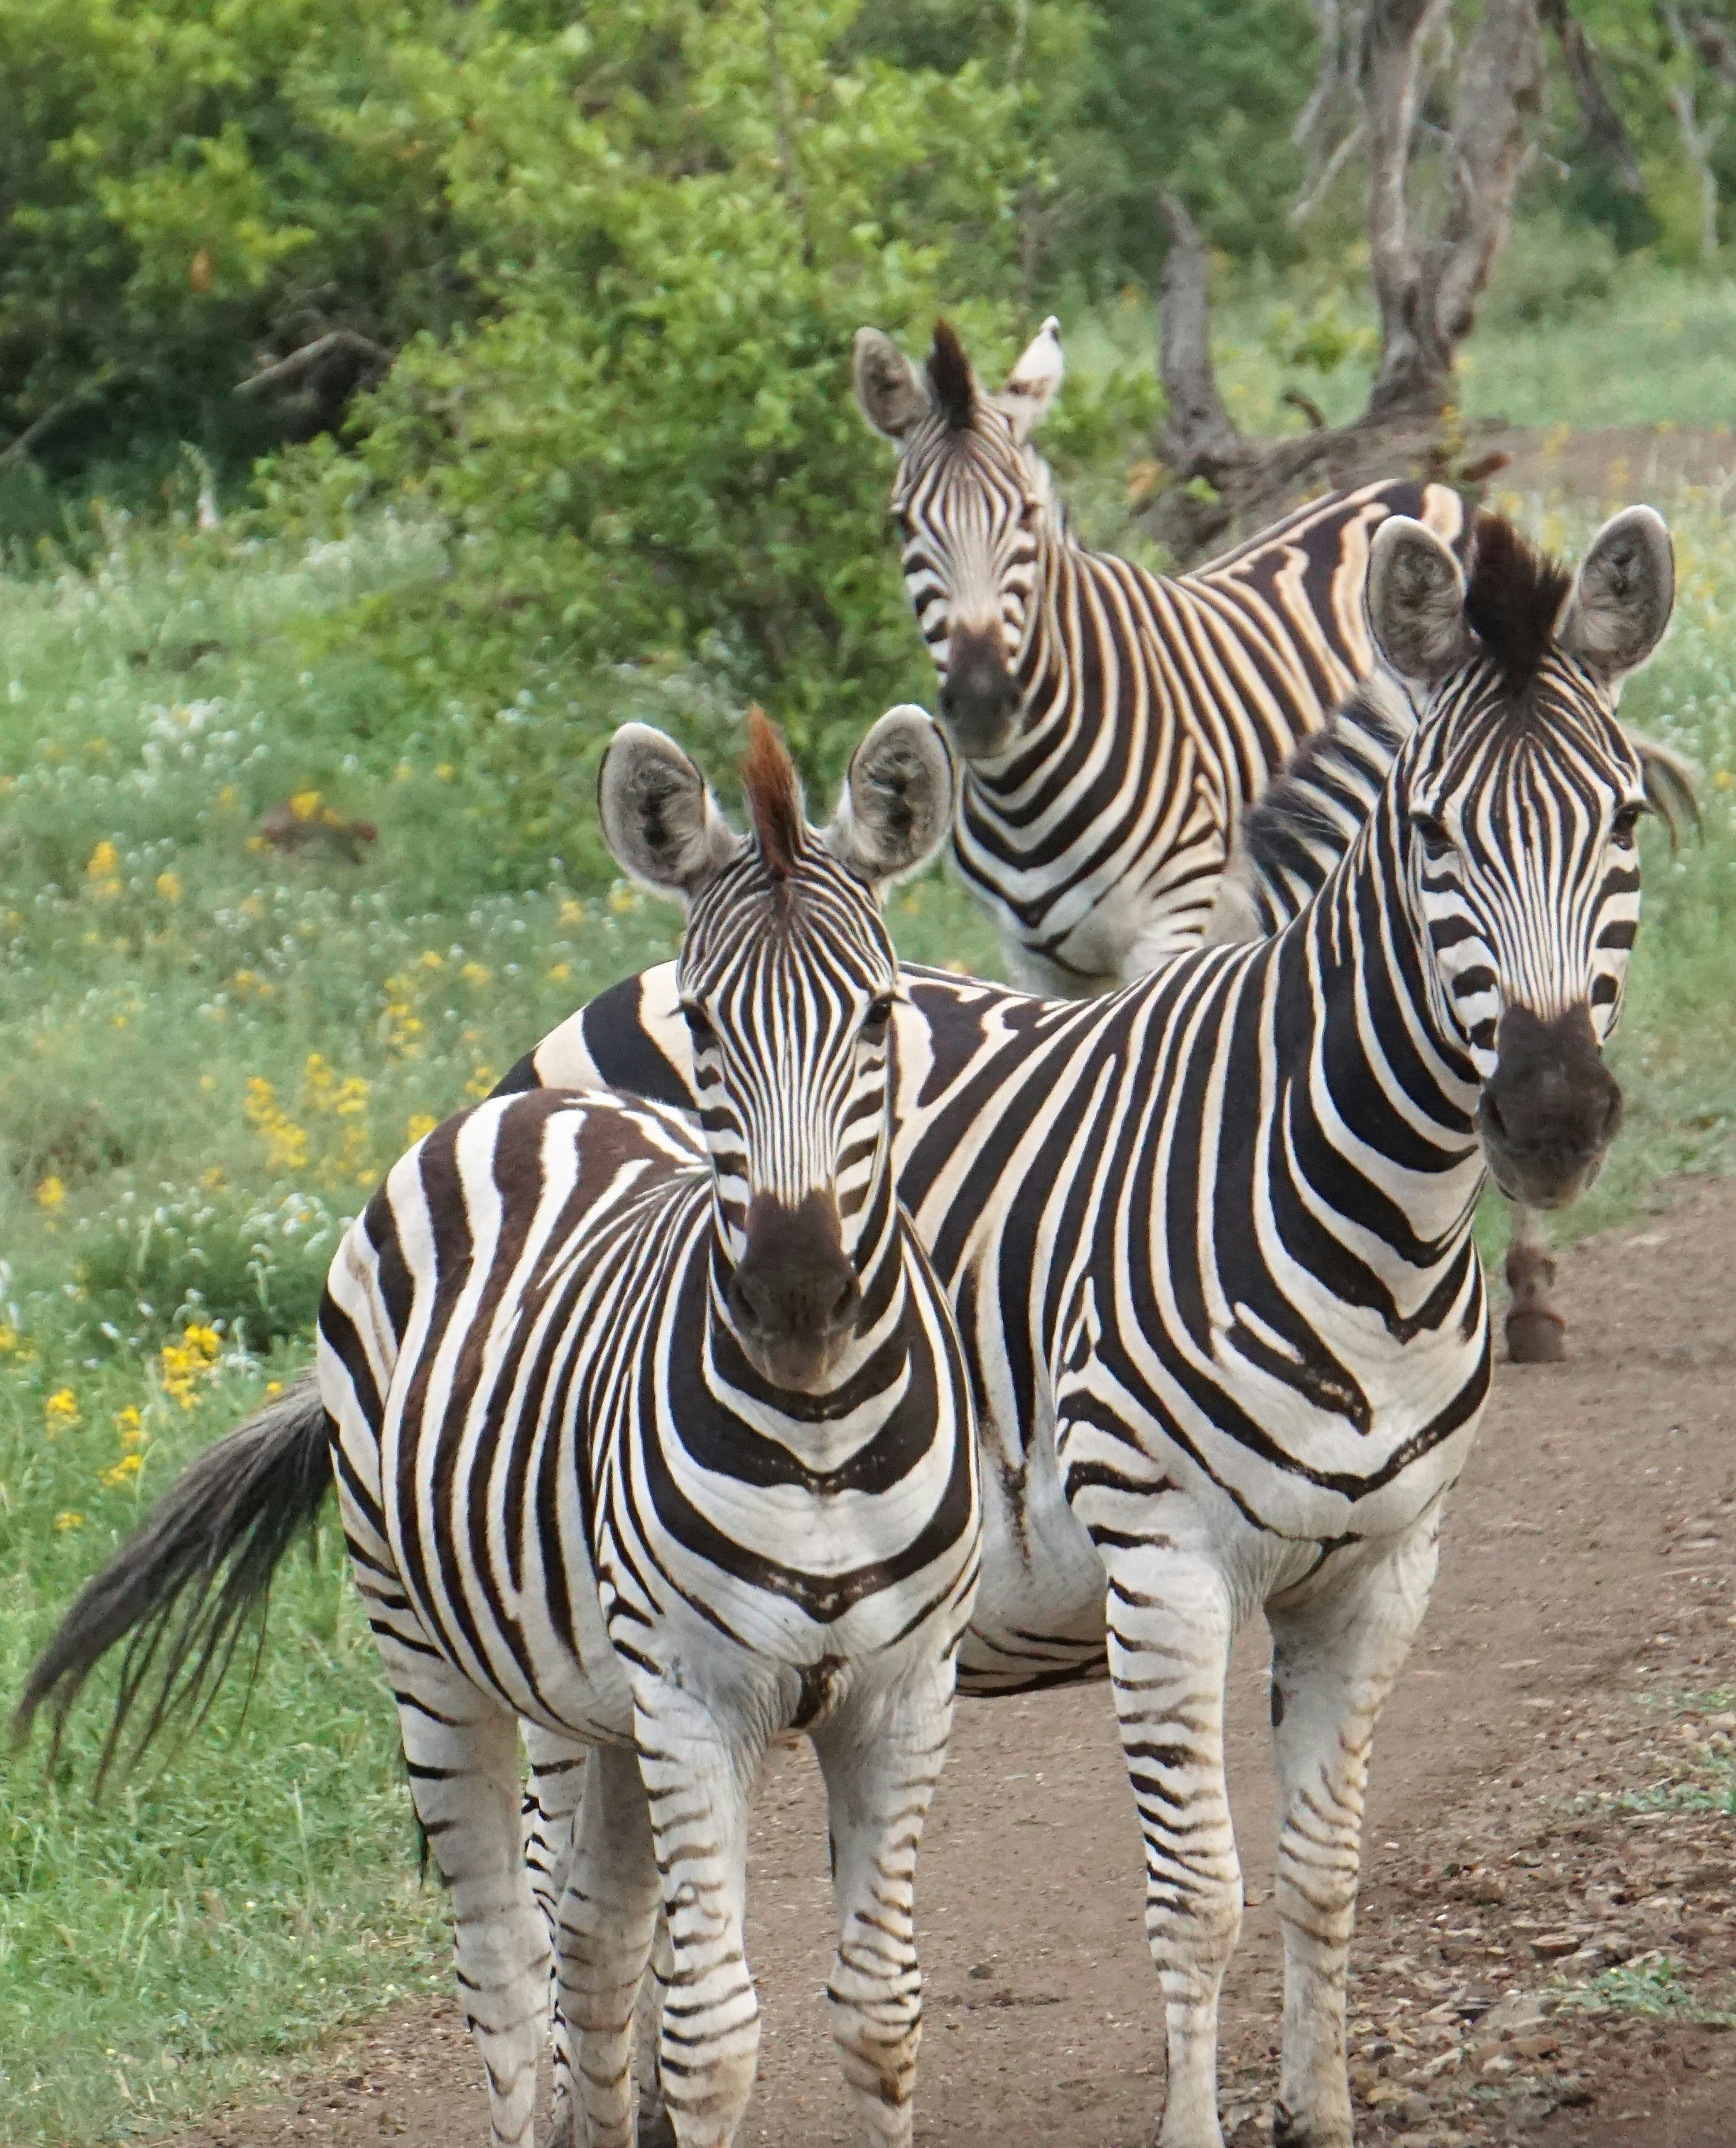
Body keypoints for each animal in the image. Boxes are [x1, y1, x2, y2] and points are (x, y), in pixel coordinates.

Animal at [17, 710, 980, 2148]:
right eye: (702, 1023)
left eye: (877, 1017)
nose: (799, 1291)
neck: (818, 1427)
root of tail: (514, 1099)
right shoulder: (696, 1693)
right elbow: (713, 2038)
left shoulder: (901, 1690)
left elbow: (878, 2011)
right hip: (432, 1654)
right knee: (509, 1969)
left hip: (593, 1698)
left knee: (591, 1943)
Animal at [505, 507, 1676, 2146]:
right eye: (1434, 834)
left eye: (1621, 820)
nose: (1551, 1115)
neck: (1363, 1207)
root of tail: (583, 1016)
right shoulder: (1162, 1552)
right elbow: (1201, 1895)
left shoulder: (1381, 1567)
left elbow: (1321, 1870)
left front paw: (1318, 2113)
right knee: (562, 1916)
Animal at [850, 313, 1467, 994]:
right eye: (904, 523)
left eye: (1027, 515)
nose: (983, 703)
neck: (1021, 792)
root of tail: (1417, 484)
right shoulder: (1033, 964)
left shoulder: (1173, 926)